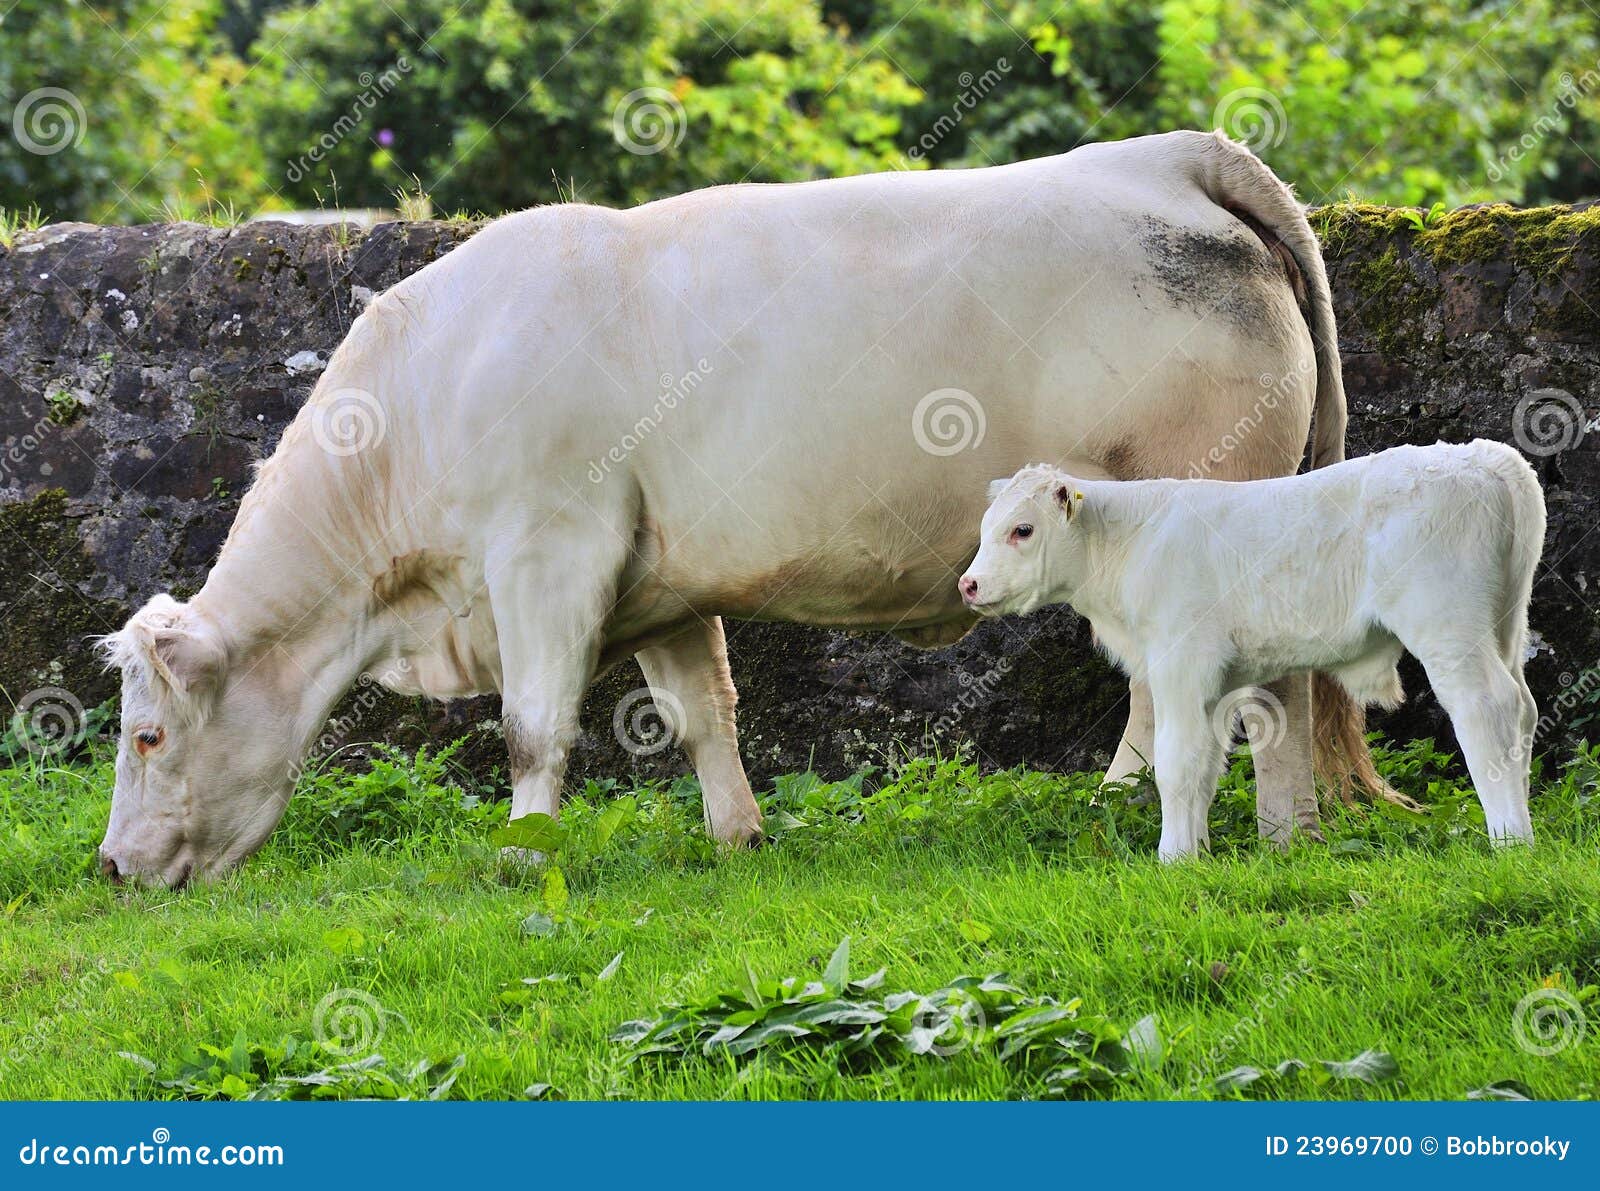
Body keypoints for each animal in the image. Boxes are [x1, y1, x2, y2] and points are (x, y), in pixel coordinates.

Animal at [97, 130, 1380, 886]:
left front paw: (524, 852)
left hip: (1210, 509)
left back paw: (1223, 822)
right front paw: (736, 837)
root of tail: (1174, 155)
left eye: (147, 735)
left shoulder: (548, 553)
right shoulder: (658, 583)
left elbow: (532, 726)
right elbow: (701, 712)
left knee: (1246, 691)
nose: (109, 867)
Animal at [961, 442, 1544, 859]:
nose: (968, 584)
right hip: (1506, 625)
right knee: (1525, 709)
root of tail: (1482, 456)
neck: (1129, 542)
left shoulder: (1180, 664)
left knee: (1488, 710)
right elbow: (1203, 766)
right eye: (986, 529)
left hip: (1448, 627)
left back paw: (1509, 840)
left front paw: (1170, 858)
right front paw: (1194, 854)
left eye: (1022, 529)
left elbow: (1174, 762)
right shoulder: (1218, 683)